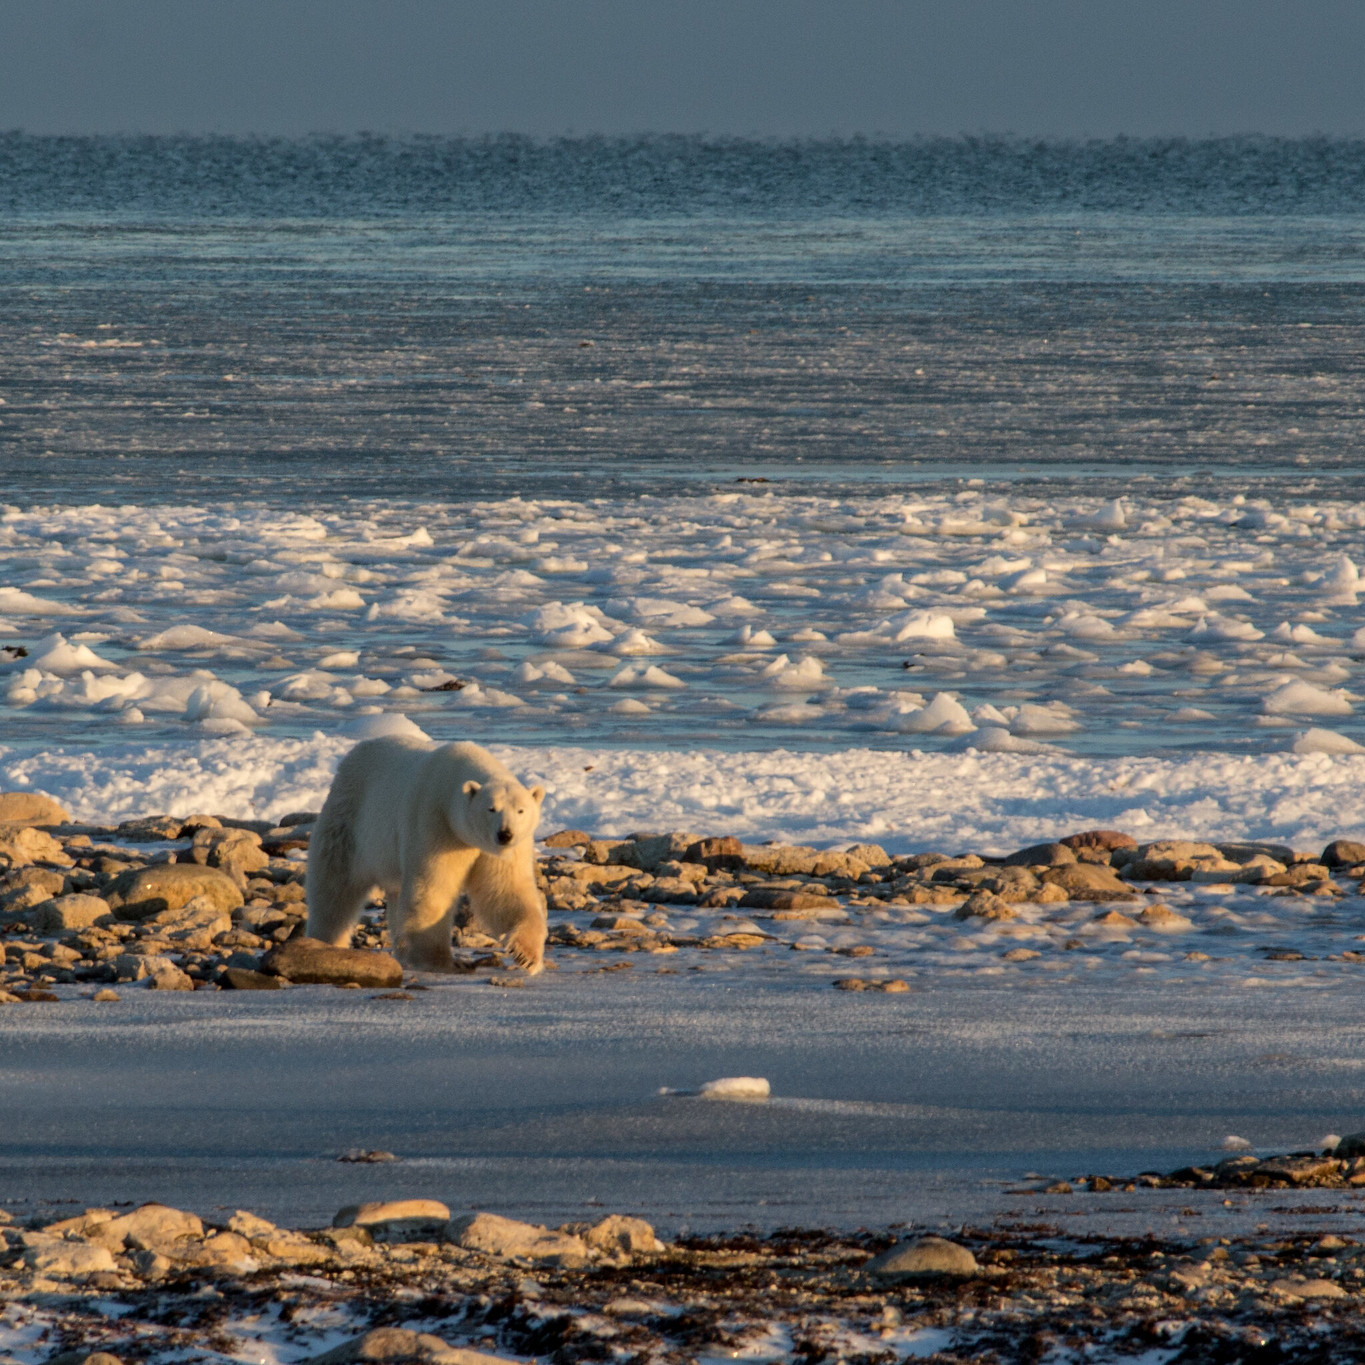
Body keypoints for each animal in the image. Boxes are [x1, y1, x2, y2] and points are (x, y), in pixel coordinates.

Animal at [306, 736, 547, 973]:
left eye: (521, 810)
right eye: (491, 809)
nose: (505, 834)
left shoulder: (498, 851)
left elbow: (505, 890)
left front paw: (526, 956)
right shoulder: (436, 823)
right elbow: (434, 886)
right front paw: (439, 960)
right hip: (349, 824)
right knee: (335, 889)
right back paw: (326, 942)